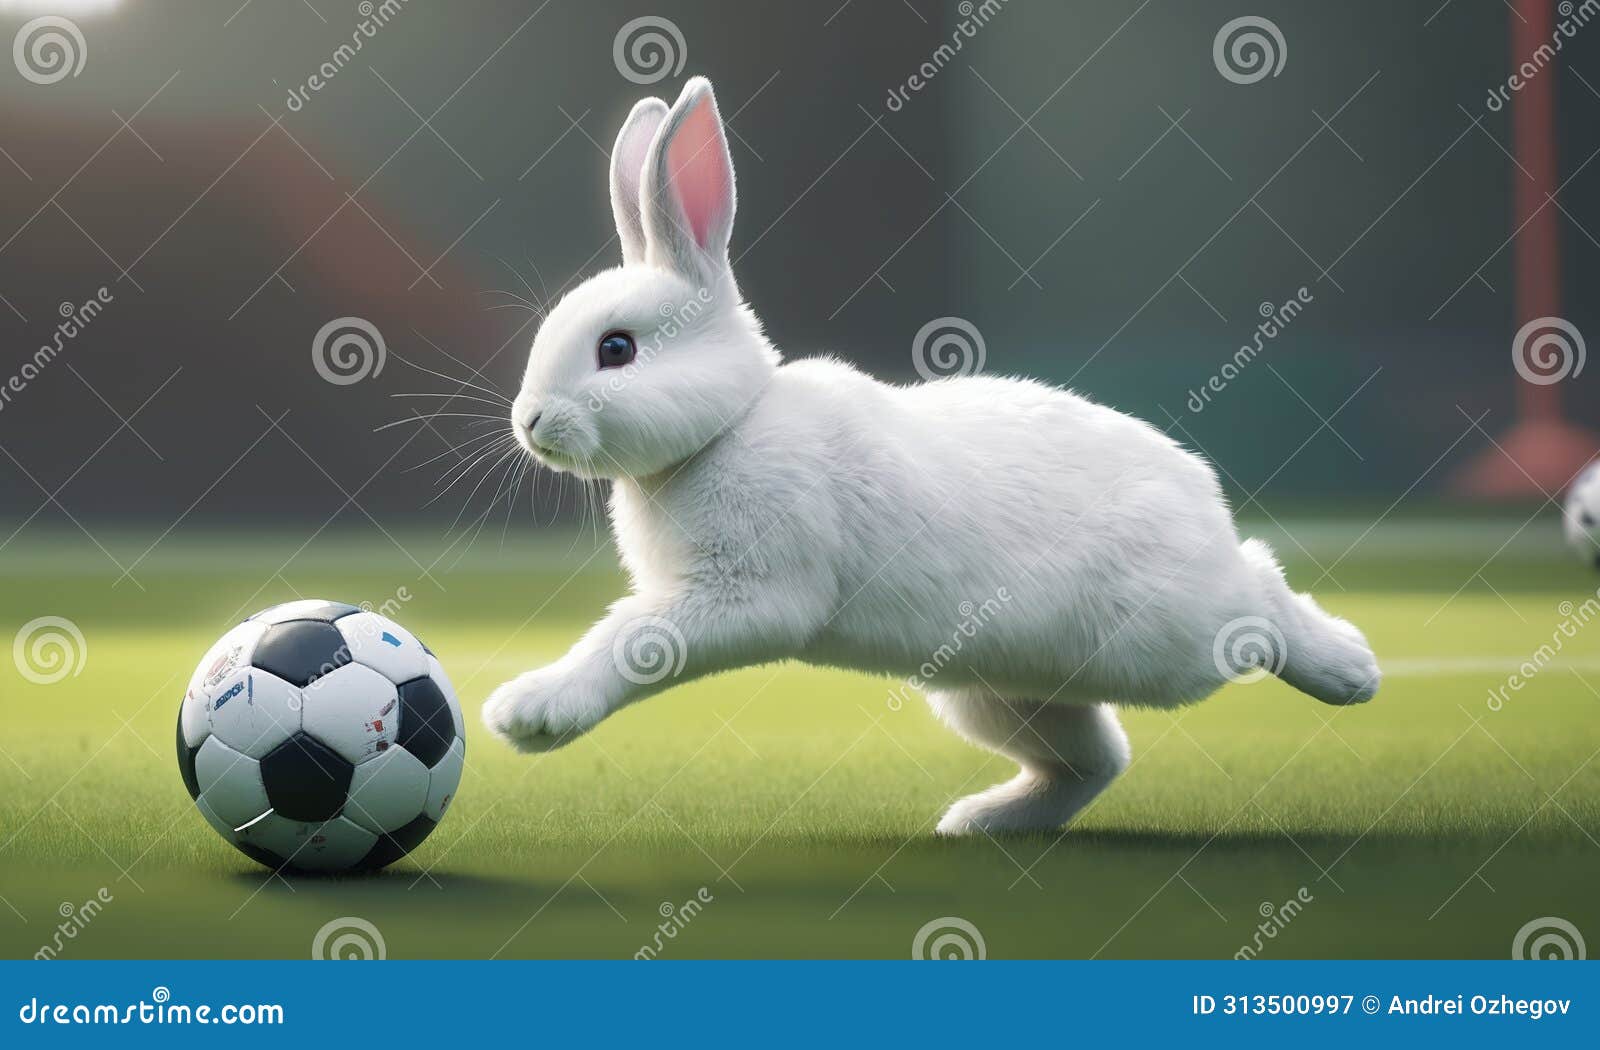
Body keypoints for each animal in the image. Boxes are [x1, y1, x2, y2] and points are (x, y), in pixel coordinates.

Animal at [482, 76, 1381, 836]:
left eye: (618, 348)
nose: (531, 421)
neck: (728, 426)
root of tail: (1205, 504)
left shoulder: (743, 592)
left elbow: (629, 641)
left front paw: (528, 713)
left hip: (1164, 640)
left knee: (1260, 600)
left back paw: (1352, 670)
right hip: (1001, 692)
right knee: (1096, 760)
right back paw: (981, 822)